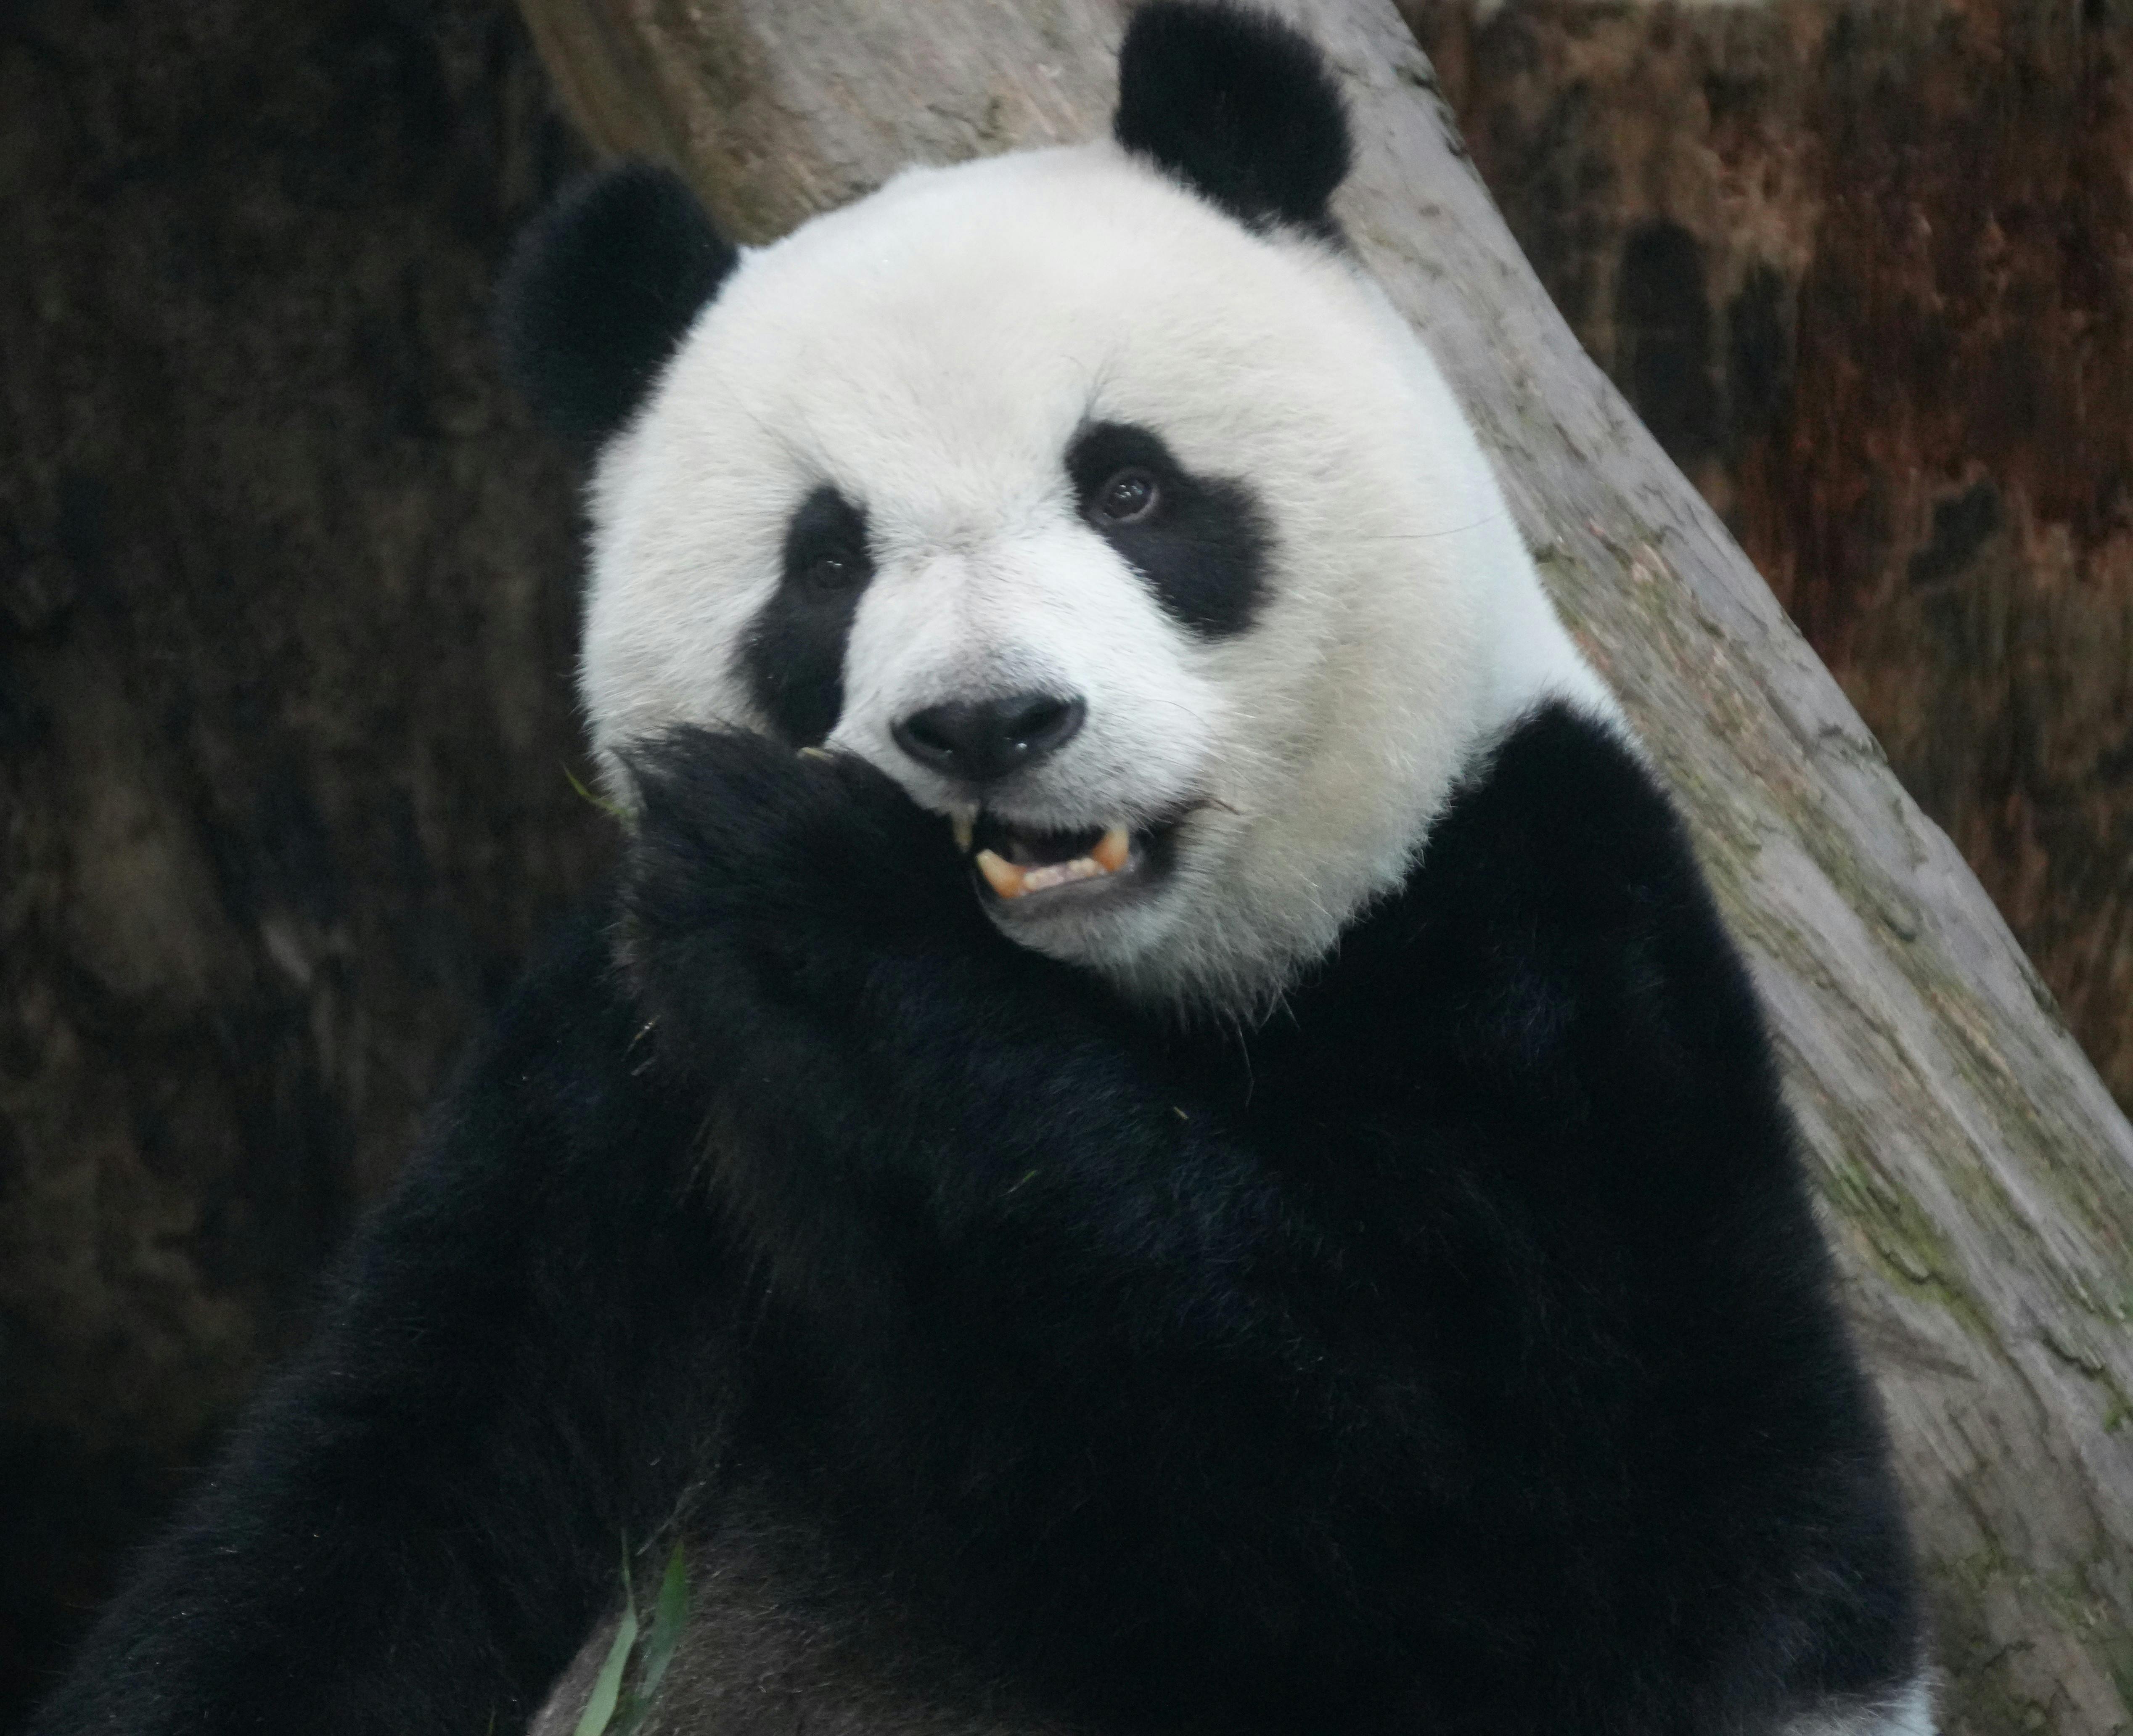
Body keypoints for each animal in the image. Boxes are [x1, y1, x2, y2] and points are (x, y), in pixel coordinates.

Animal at [31, 6, 1929, 1735]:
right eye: (822, 562)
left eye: (1131, 486)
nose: (988, 722)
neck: (1115, 1008)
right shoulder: (607, 1093)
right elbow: (367, 1508)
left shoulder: (1544, 935)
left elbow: (1556, 1536)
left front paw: (811, 900)